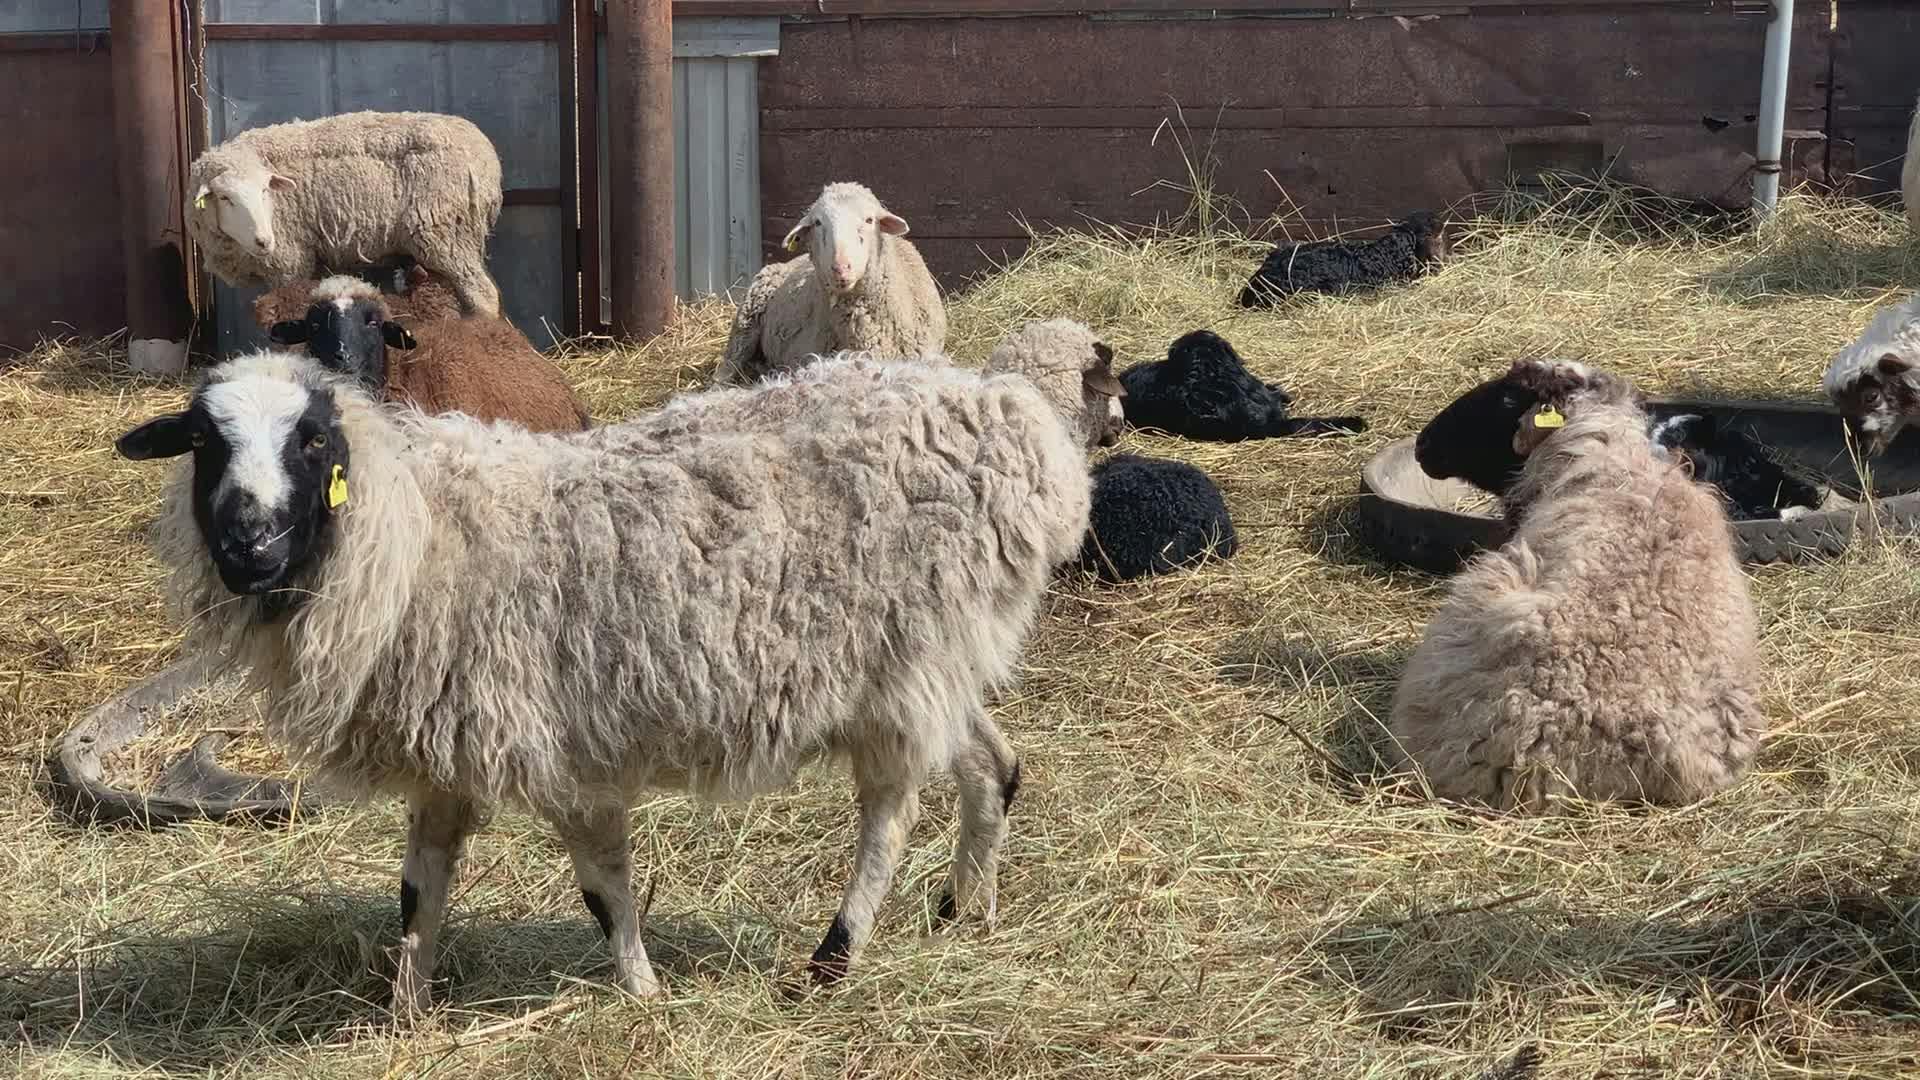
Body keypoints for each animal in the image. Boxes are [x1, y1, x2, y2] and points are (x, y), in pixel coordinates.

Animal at [112, 348, 1093, 1010]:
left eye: (312, 441)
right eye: (203, 443)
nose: (250, 546)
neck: (421, 534)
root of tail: (1020, 424)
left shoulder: (561, 751)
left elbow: (603, 888)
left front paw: (642, 991)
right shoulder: (446, 753)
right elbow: (419, 889)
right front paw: (405, 1008)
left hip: (905, 664)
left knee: (889, 816)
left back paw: (834, 956)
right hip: (935, 663)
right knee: (993, 766)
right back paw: (968, 910)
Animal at [186, 110, 504, 317]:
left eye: (266, 190)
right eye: (224, 197)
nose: (264, 241)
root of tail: (485, 154)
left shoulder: (289, 259)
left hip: (446, 234)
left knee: (484, 296)